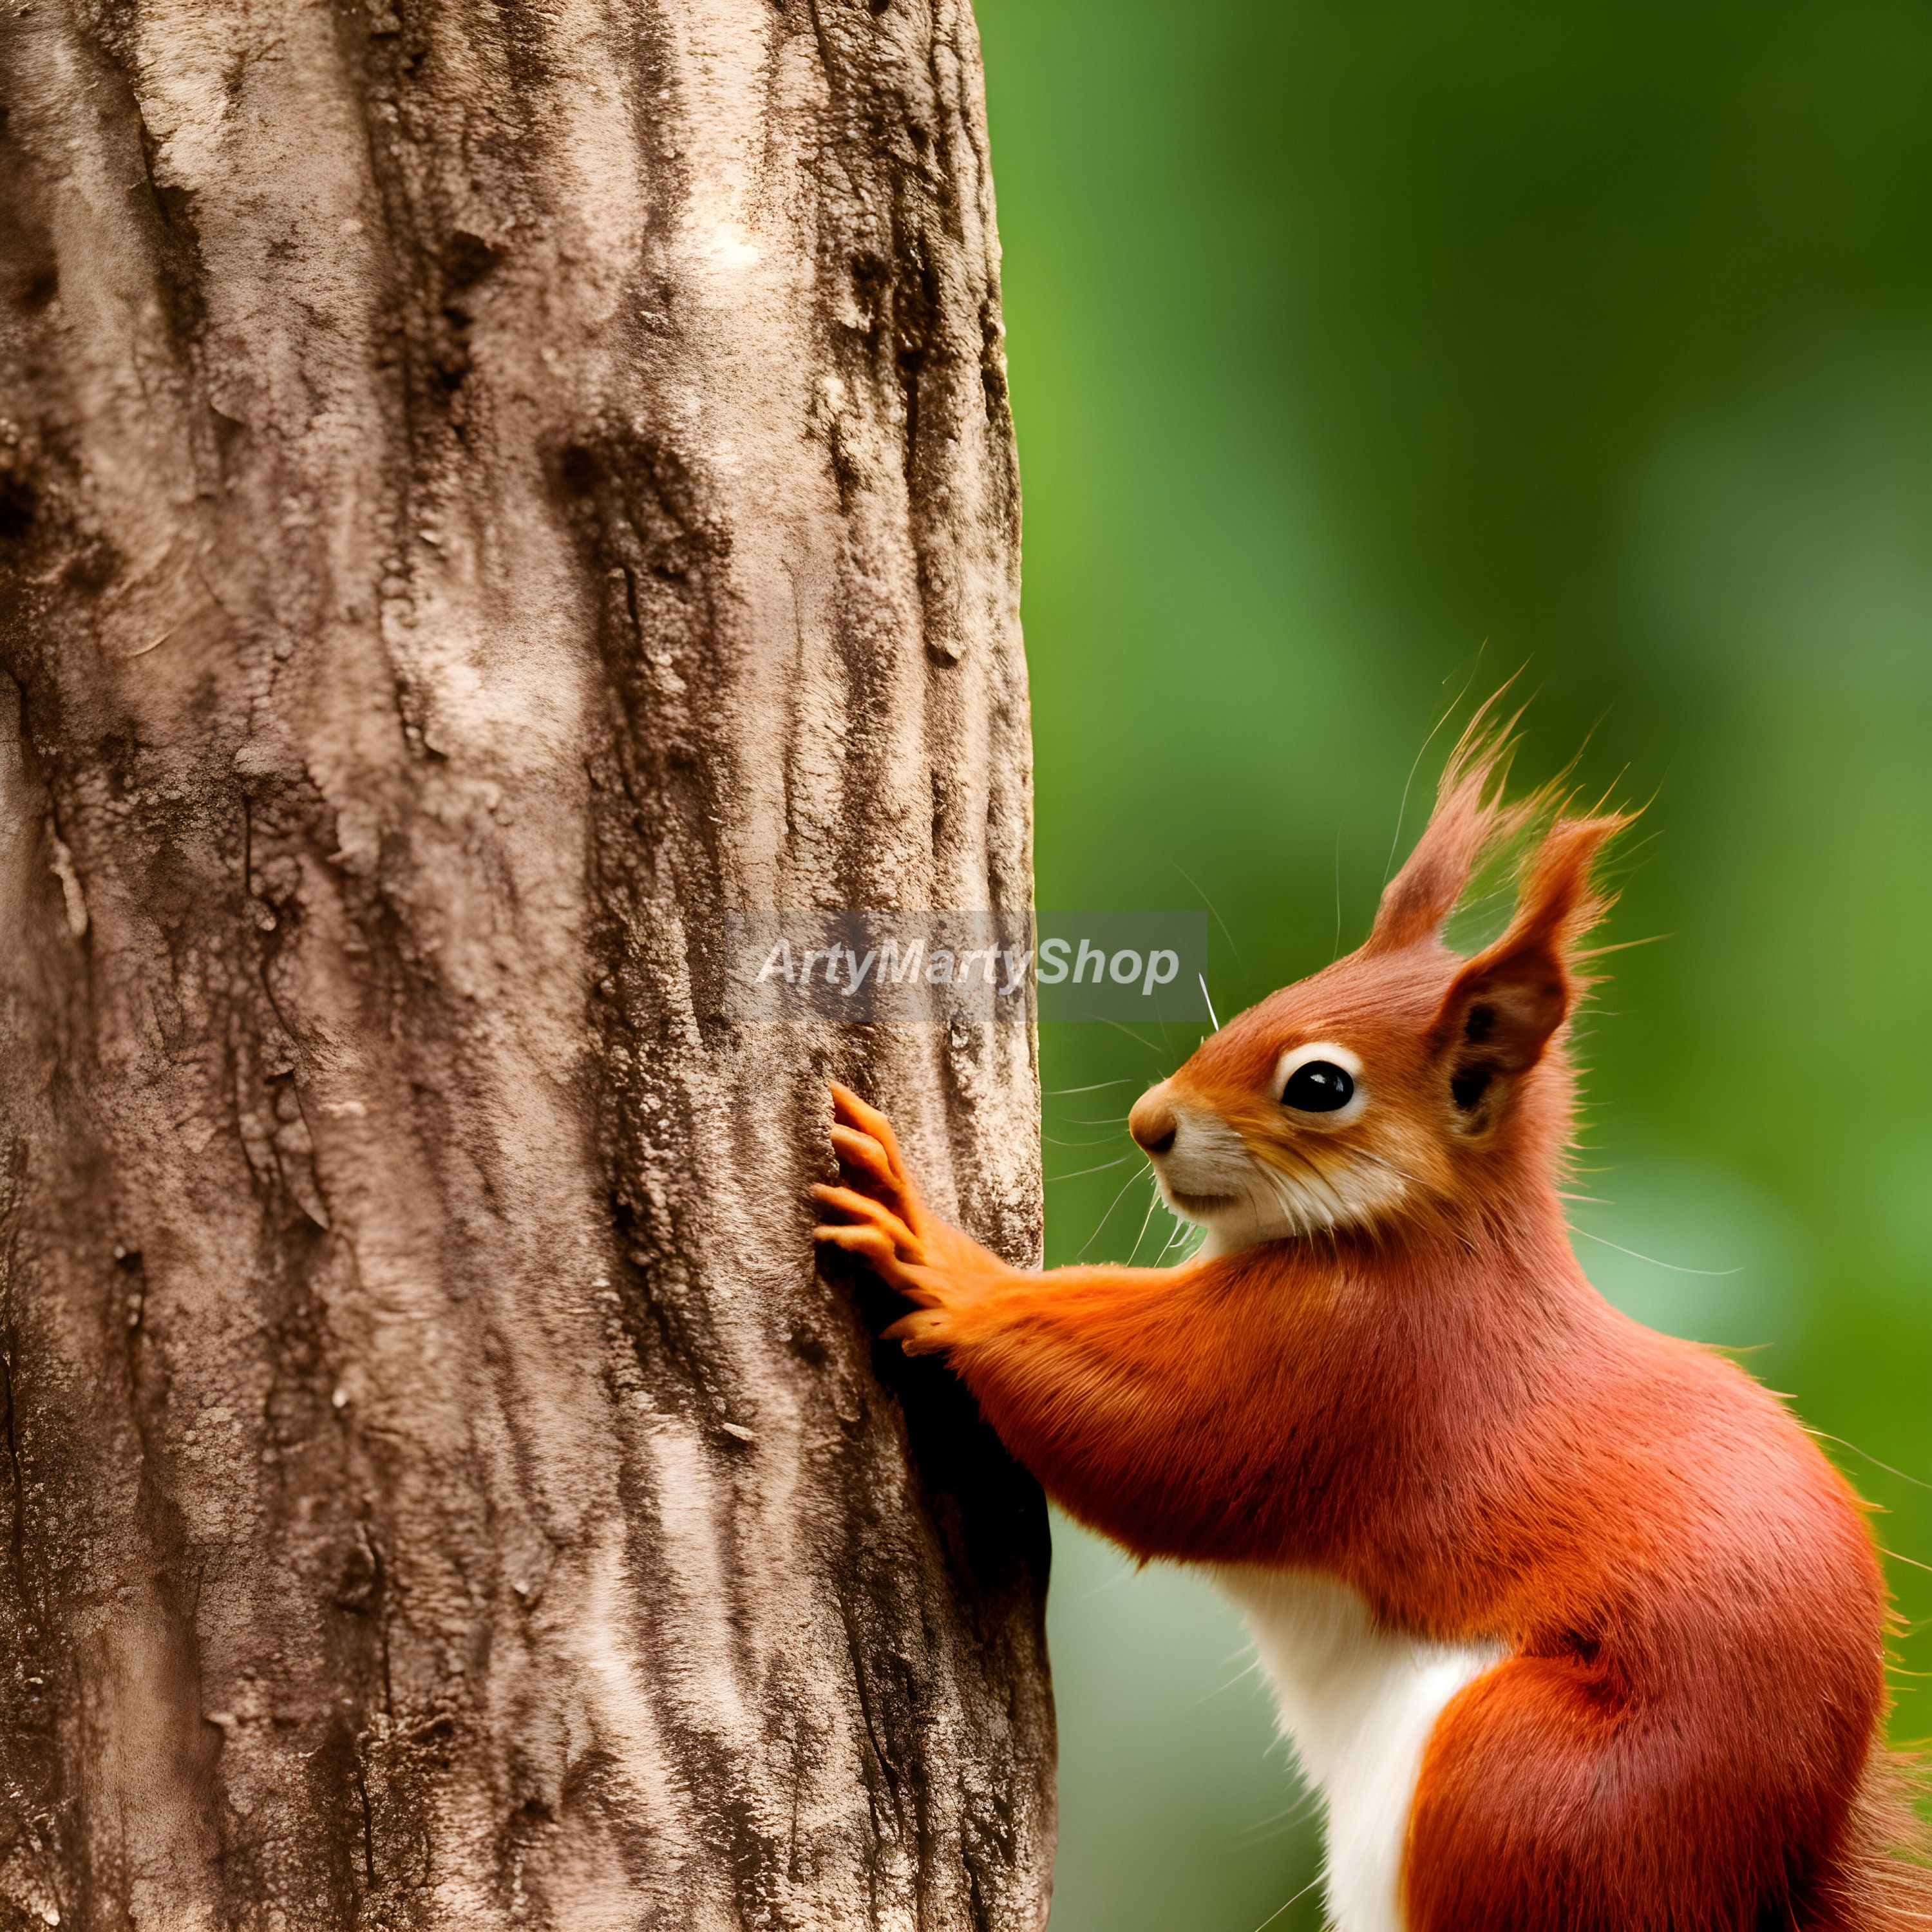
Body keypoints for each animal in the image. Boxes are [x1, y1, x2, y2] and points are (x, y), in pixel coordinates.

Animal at [814, 728, 1931, 1932]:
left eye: (1319, 1085)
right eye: (1278, 992)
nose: (1150, 1124)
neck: (1425, 1241)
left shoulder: (1362, 1367)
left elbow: (1160, 1439)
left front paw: (935, 1253)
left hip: (1527, 1796)